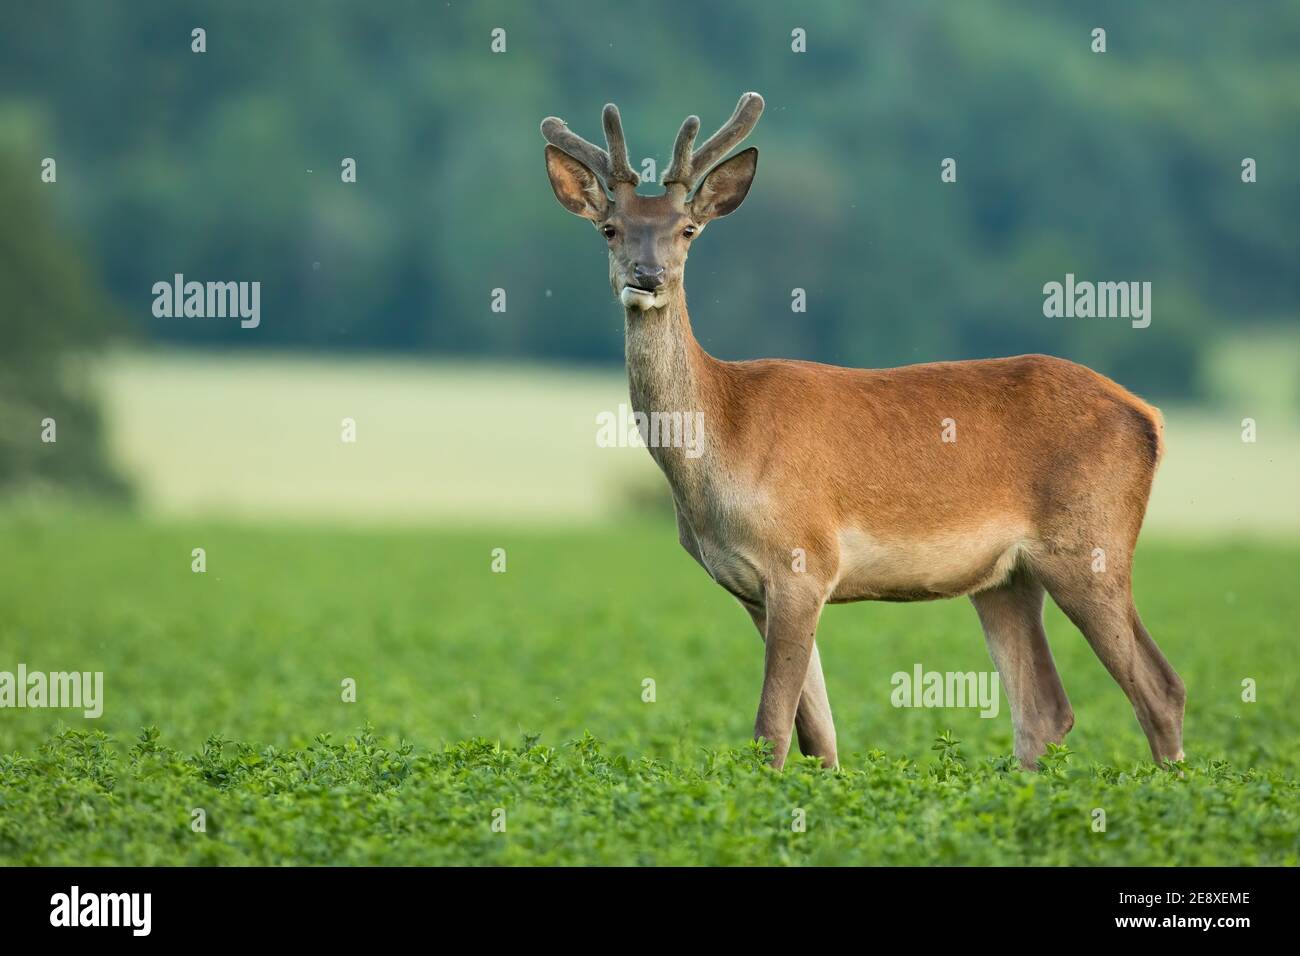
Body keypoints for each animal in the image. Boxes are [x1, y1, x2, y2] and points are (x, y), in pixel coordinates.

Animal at [541, 92, 1185, 771]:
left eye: (687, 230)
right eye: (610, 229)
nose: (647, 275)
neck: (722, 443)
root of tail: (1150, 417)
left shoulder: (802, 558)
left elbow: (771, 729)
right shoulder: (753, 588)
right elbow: (818, 737)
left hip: (1090, 542)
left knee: (1160, 687)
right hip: (1008, 577)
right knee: (1045, 709)